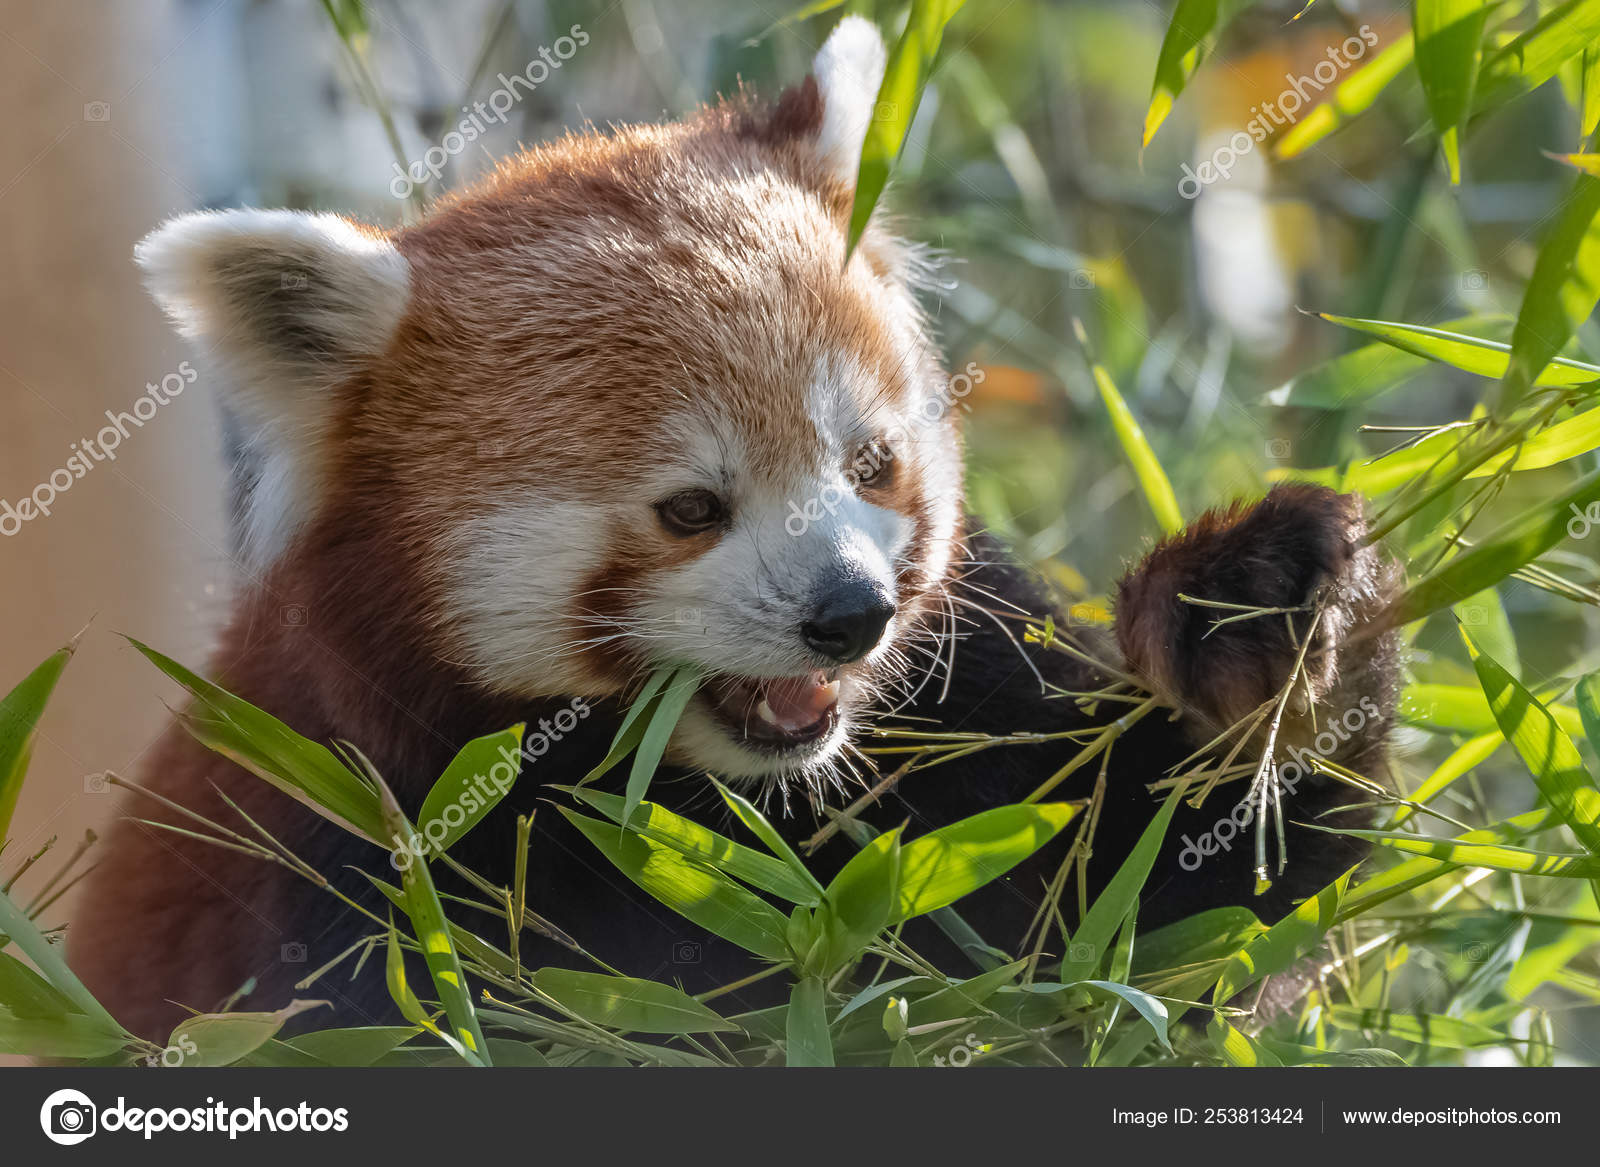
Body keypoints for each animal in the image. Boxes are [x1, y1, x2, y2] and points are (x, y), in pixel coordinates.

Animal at [70, 17, 1398, 1041]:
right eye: (691, 509)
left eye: (868, 463)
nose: (850, 616)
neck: (725, 804)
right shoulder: (352, 856)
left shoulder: (963, 712)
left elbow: (1155, 908)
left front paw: (1259, 624)